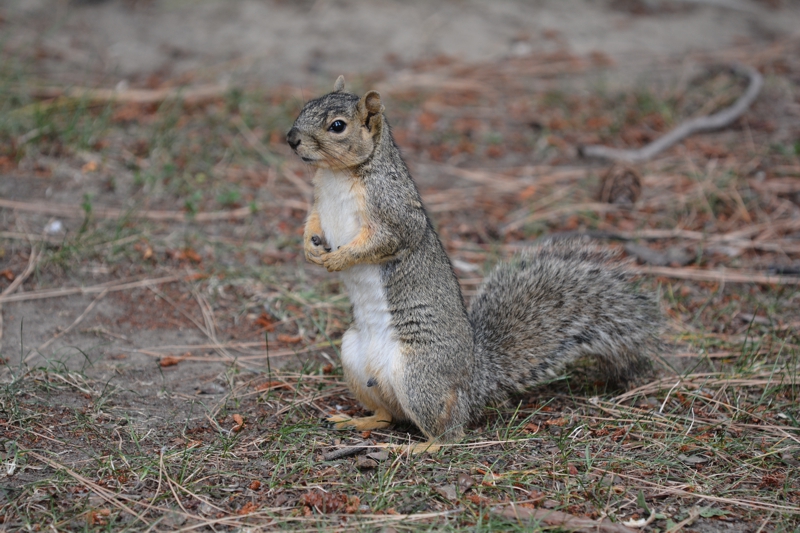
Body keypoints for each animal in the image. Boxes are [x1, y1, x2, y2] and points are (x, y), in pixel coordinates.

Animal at [286, 76, 661, 453]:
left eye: (337, 126)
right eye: (306, 107)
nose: (291, 138)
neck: (336, 175)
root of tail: (473, 382)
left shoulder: (394, 213)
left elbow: (387, 240)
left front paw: (337, 258)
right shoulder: (319, 204)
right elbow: (311, 222)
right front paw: (309, 248)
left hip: (419, 377)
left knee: (450, 431)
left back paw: (420, 447)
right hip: (354, 358)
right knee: (387, 415)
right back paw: (357, 420)